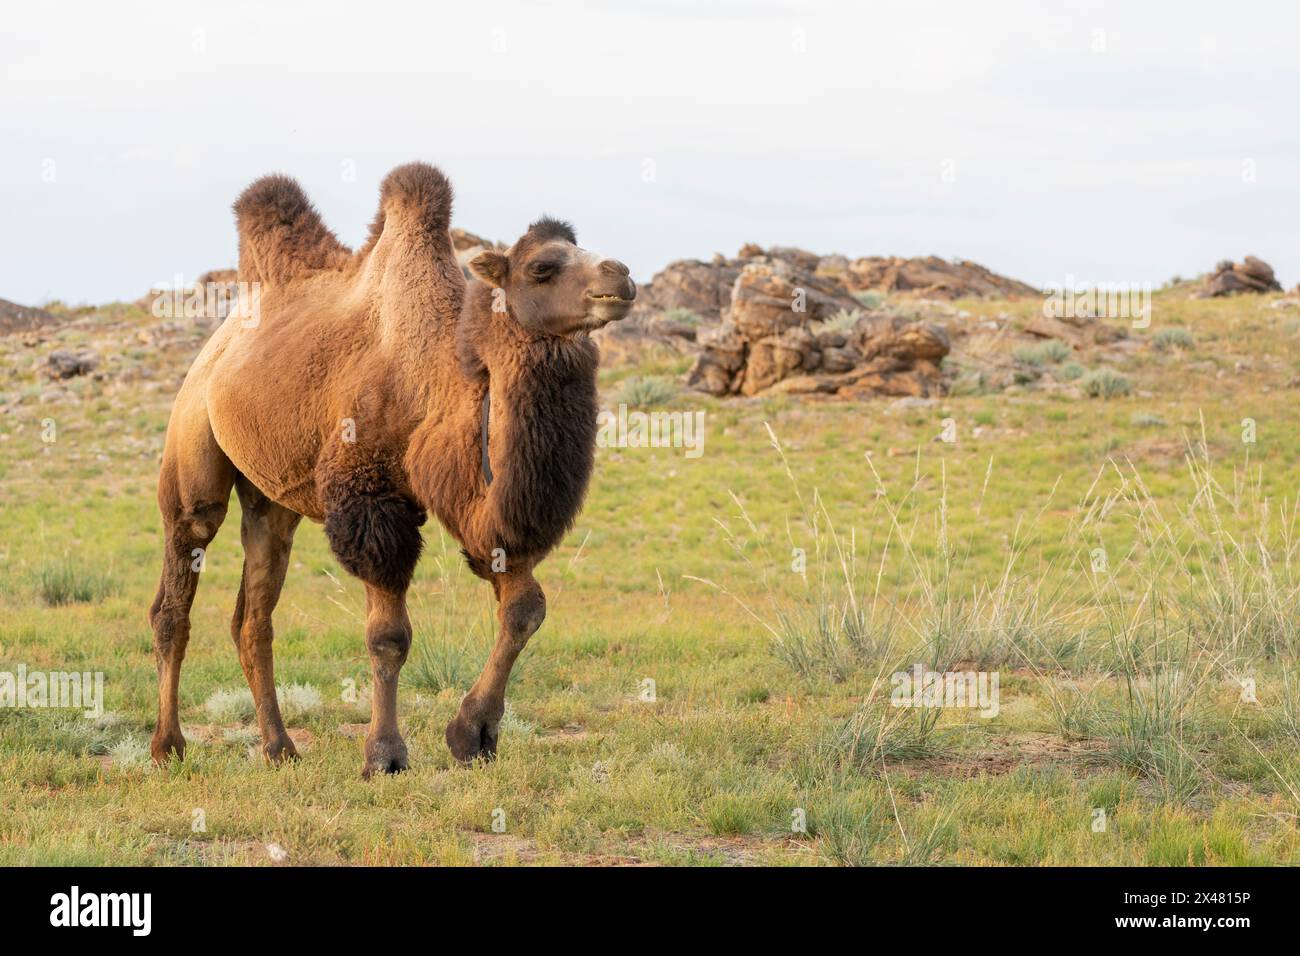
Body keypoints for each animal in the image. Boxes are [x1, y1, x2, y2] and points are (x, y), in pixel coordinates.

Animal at [148, 162, 635, 777]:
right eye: (542, 268)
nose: (621, 274)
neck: (438, 384)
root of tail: (219, 343)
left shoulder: (481, 504)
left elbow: (525, 608)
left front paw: (472, 734)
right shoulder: (370, 496)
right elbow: (388, 636)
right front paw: (385, 755)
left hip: (272, 499)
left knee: (253, 616)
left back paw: (280, 748)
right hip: (192, 442)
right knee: (178, 584)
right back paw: (168, 746)